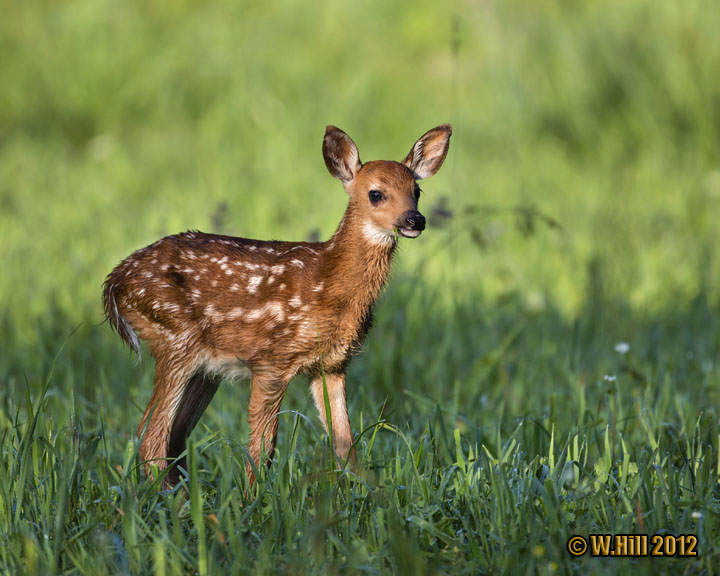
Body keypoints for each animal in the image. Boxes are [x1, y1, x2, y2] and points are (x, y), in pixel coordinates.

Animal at [103, 124, 452, 488]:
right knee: (152, 436)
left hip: (204, 367)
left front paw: (364, 492)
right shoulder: (271, 360)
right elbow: (263, 448)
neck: (328, 282)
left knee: (174, 436)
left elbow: (345, 446)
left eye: (417, 191)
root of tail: (114, 282)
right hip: (174, 337)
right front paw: (251, 497)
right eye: (375, 194)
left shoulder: (332, 364)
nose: (415, 220)